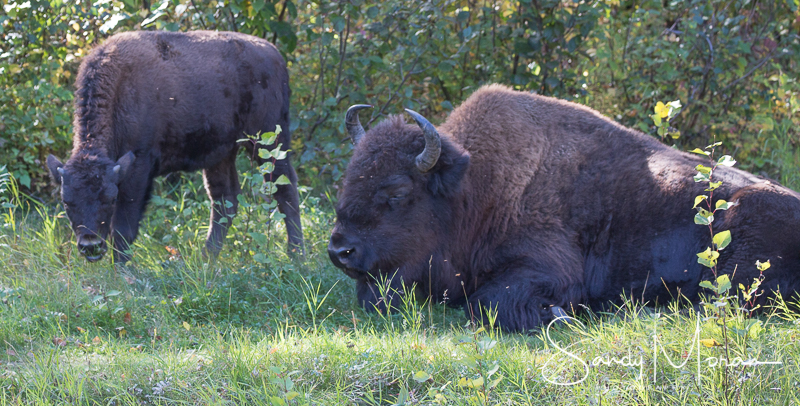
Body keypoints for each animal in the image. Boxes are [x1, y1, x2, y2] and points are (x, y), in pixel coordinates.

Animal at [47, 31, 303, 263]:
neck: (120, 88)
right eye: (67, 202)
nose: (90, 245)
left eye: (109, 199)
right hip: (220, 154)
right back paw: (205, 260)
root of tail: (275, 54)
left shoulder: (138, 168)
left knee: (285, 191)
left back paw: (296, 257)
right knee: (224, 201)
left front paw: (123, 273)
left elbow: (121, 229)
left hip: (269, 141)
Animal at [328, 84, 800, 331]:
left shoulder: (548, 266)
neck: (476, 186)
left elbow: (486, 303)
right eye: (348, 177)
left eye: (396, 191)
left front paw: (557, 314)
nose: (340, 251)